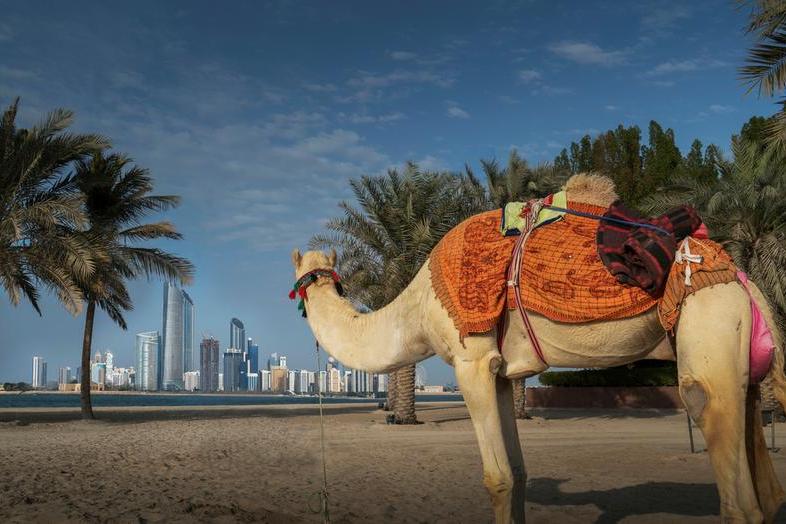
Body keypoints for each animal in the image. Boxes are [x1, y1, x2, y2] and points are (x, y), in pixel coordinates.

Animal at [291, 175, 786, 523]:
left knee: (727, 468)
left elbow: (497, 478)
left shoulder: (472, 361)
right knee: (766, 490)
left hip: (708, 320)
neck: (418, 306)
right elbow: (520, 475)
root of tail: (743, 279)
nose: (305, 282)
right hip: (739, 361)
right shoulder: (501, 374)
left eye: (310, 276)